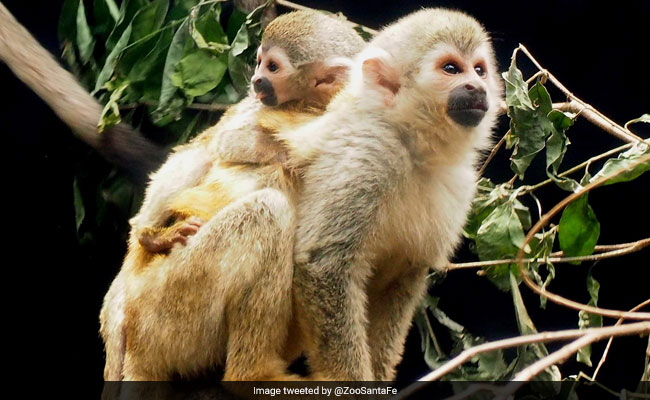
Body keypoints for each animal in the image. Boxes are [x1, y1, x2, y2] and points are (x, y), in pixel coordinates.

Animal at [99, 9, 365, 382]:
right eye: (261, 62)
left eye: (273, 67)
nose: (256, 80)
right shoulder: (259, 108)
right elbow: (224, 143)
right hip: (164, 304)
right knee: (262, 204)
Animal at [282, 8, 503, 381]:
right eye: (451, 69)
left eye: (479, 69)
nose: (477, 87)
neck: (412, 145)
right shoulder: (365, 156)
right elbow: (324, 263)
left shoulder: (460, 186)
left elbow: (404, 275)